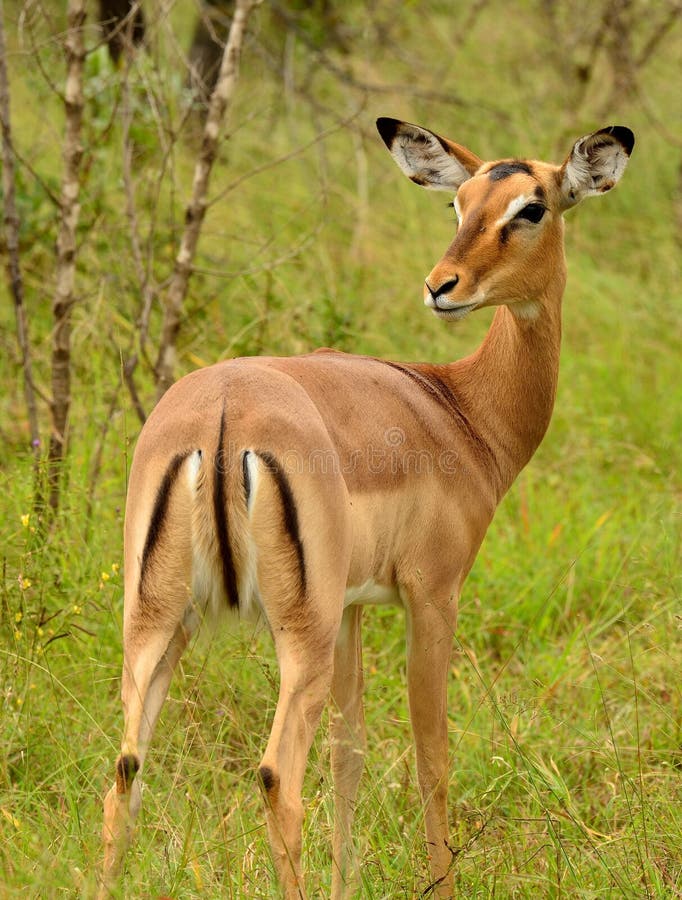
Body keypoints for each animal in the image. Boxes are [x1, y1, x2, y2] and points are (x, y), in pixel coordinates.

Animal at [100, 118, 634, 898]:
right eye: (459, 203)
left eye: (530, 207)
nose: (442, 287)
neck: (458, 411)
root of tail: (222, 417)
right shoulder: (432, 596)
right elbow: (431, 754)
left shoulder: (354, 607)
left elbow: (347, 754)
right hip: (298, 633)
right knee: (276, 777)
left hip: (159, 621)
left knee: (125, 771)